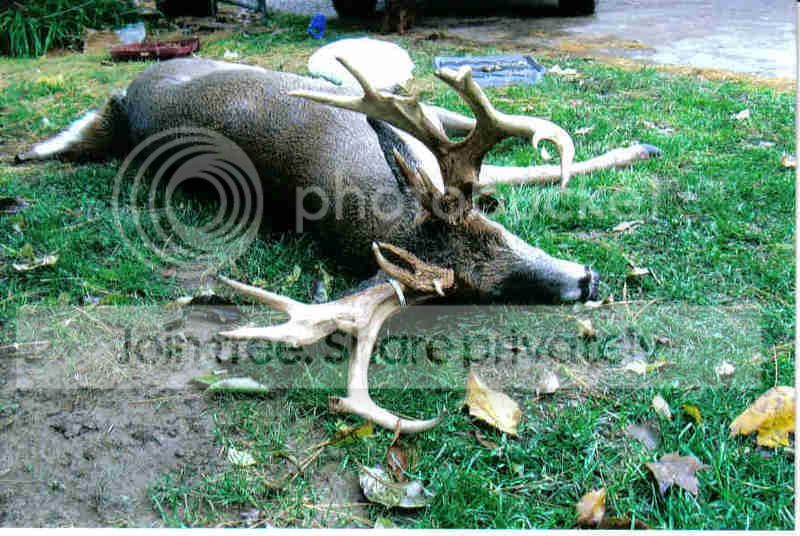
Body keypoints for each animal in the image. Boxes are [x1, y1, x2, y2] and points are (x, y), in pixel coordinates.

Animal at [15, 57, 659, 433]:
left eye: (493, 234)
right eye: (477, 293)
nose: (586, 281)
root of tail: (131, 94)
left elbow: (523, 170)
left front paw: (632, 149)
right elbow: (522, 172)